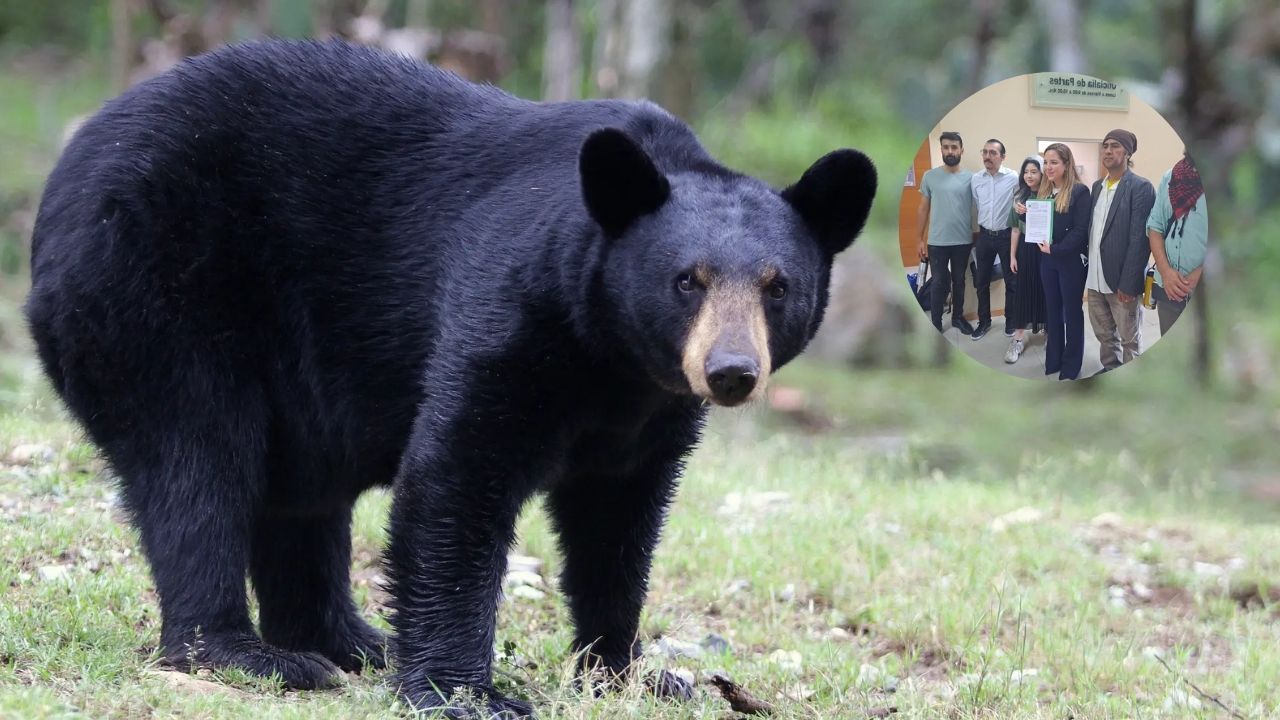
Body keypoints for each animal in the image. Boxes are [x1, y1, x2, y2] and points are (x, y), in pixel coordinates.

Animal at [25, 39, 875, 717]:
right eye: (687, 280)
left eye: (777, 286)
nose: (730, 372)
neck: (610, 355)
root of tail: (60, 180)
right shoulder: (512, 307)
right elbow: (458, 476)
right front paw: (466, 692)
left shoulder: (649, 411)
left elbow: (618, 519)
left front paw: (630, 672)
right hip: (155, 288)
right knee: (197, 461)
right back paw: (247, 652)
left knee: (296, 496)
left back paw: (348, 641)